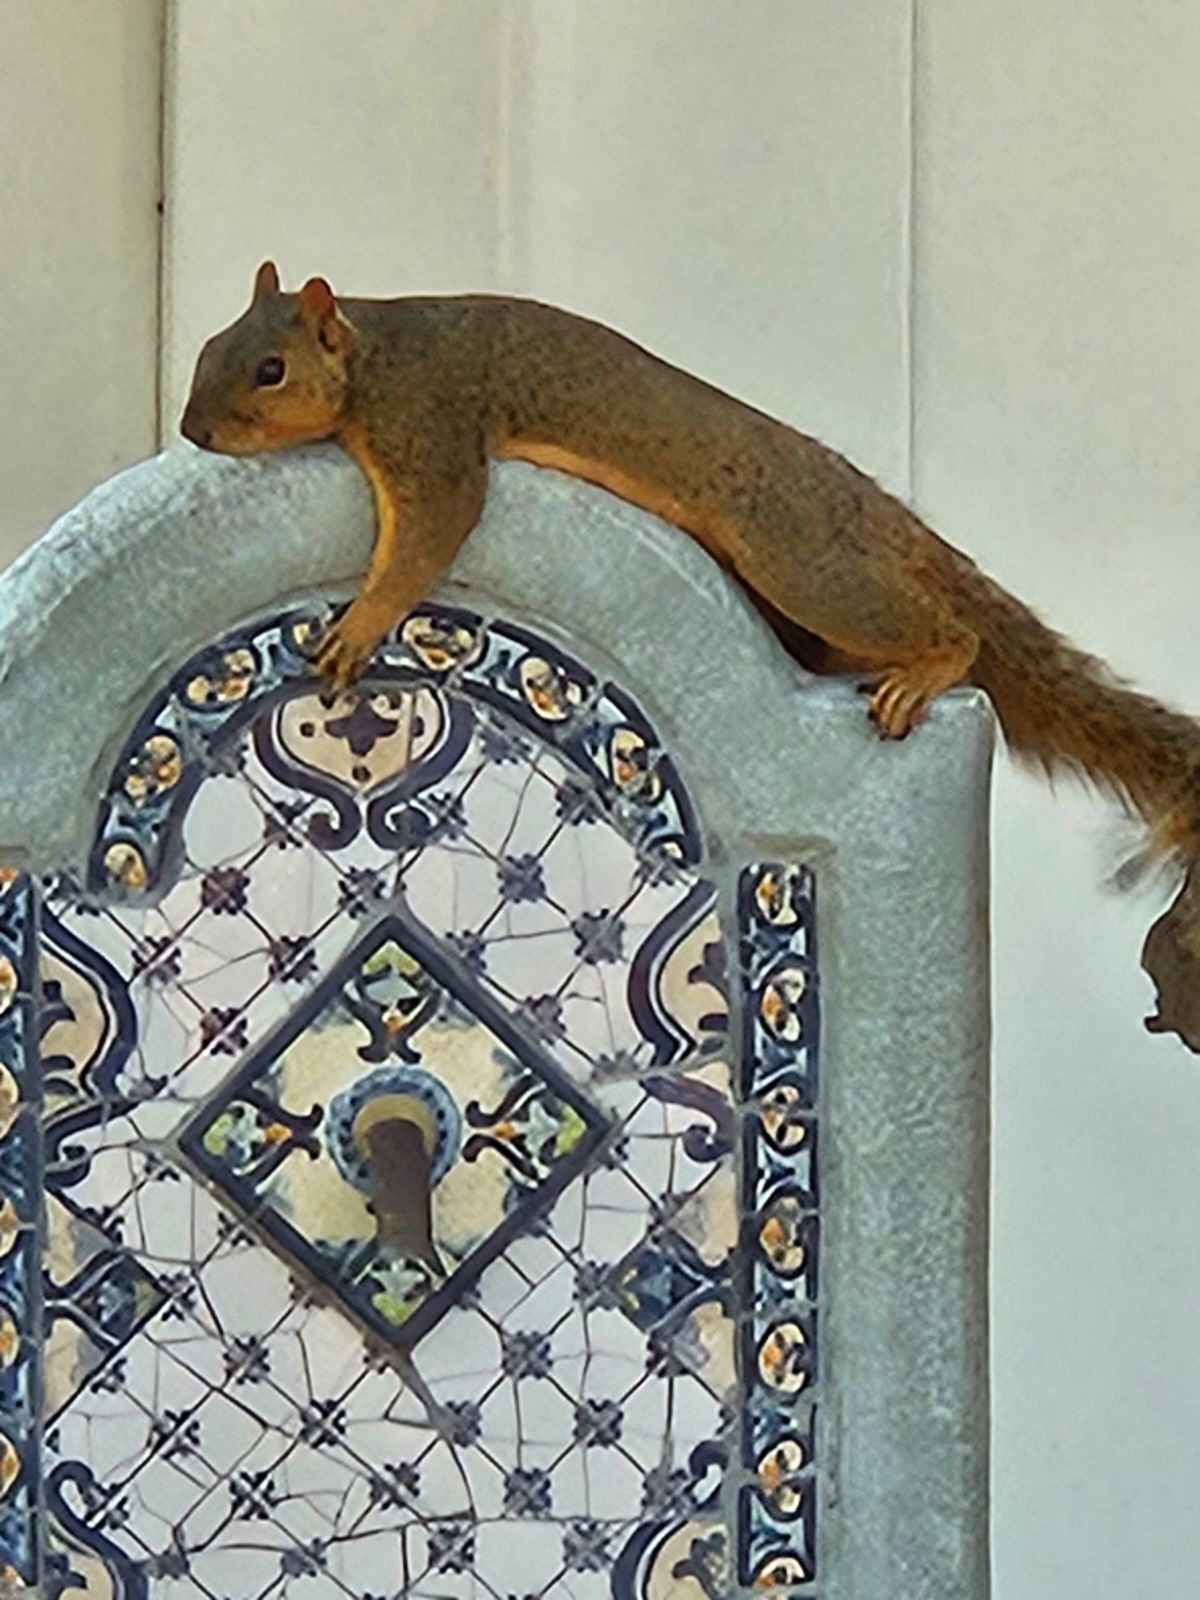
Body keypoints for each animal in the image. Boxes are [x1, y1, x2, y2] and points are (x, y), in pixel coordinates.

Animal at [180, 262, 1200, 1045]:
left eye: (269, 369)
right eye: (204, 351)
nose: (194, 430)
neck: (372, 353)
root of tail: (866, 510)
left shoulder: (428, 426)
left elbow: (432, 532)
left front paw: (361, 624)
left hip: (795, 555)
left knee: (957, 631)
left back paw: (931, 666)